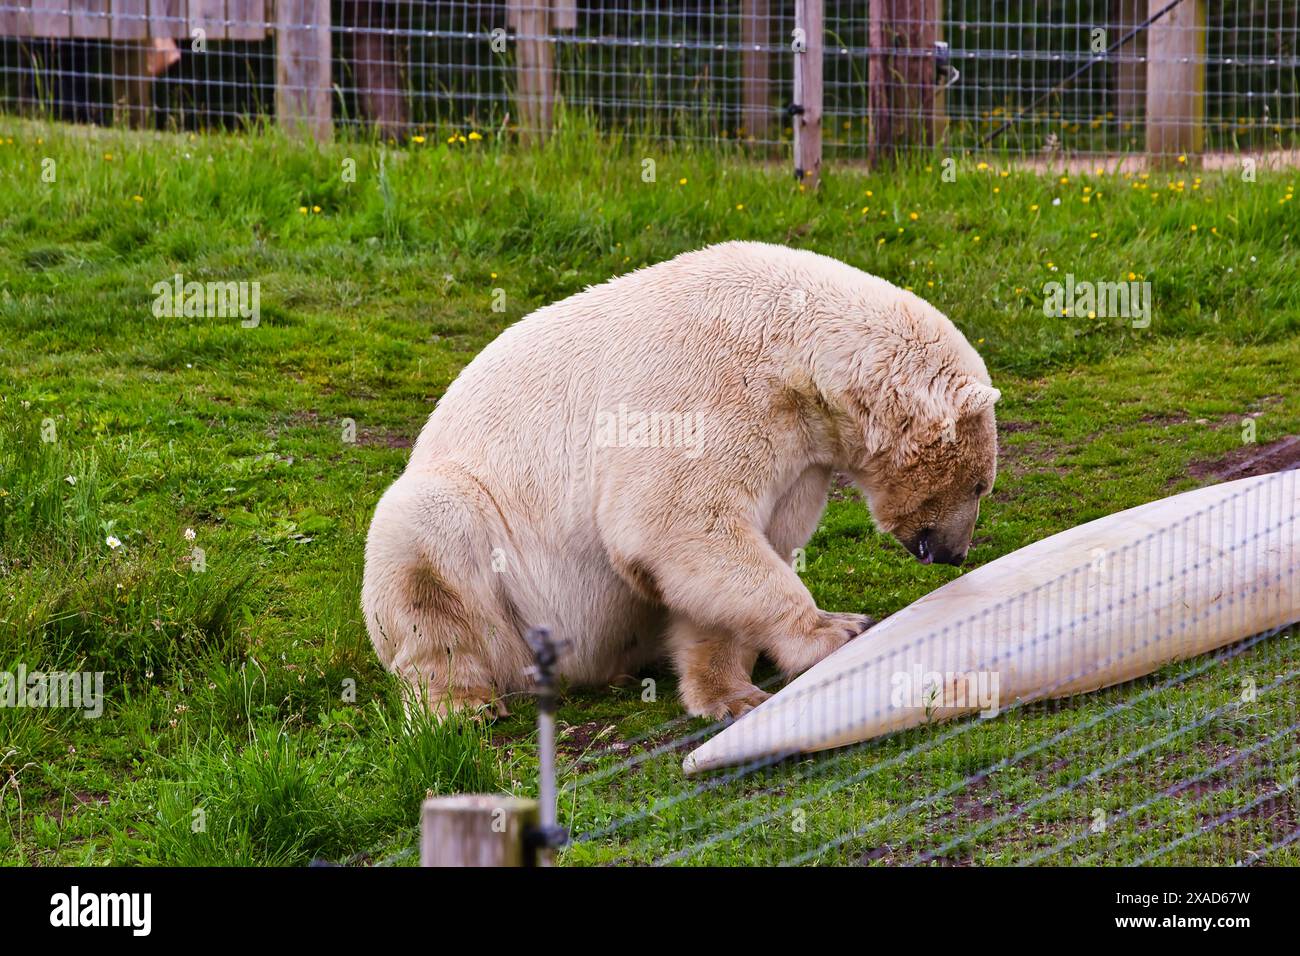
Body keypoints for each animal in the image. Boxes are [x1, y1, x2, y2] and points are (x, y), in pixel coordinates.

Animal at [361, 241, 999, 720]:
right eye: (979, 486)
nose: (955, 553)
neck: (799, 351)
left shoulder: (798, 450)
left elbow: (724, 558)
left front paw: (731, 693)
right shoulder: (709, 388)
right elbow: (676, 520)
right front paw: (836, 630)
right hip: (473, 543)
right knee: (428, 556)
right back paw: (461, 702)